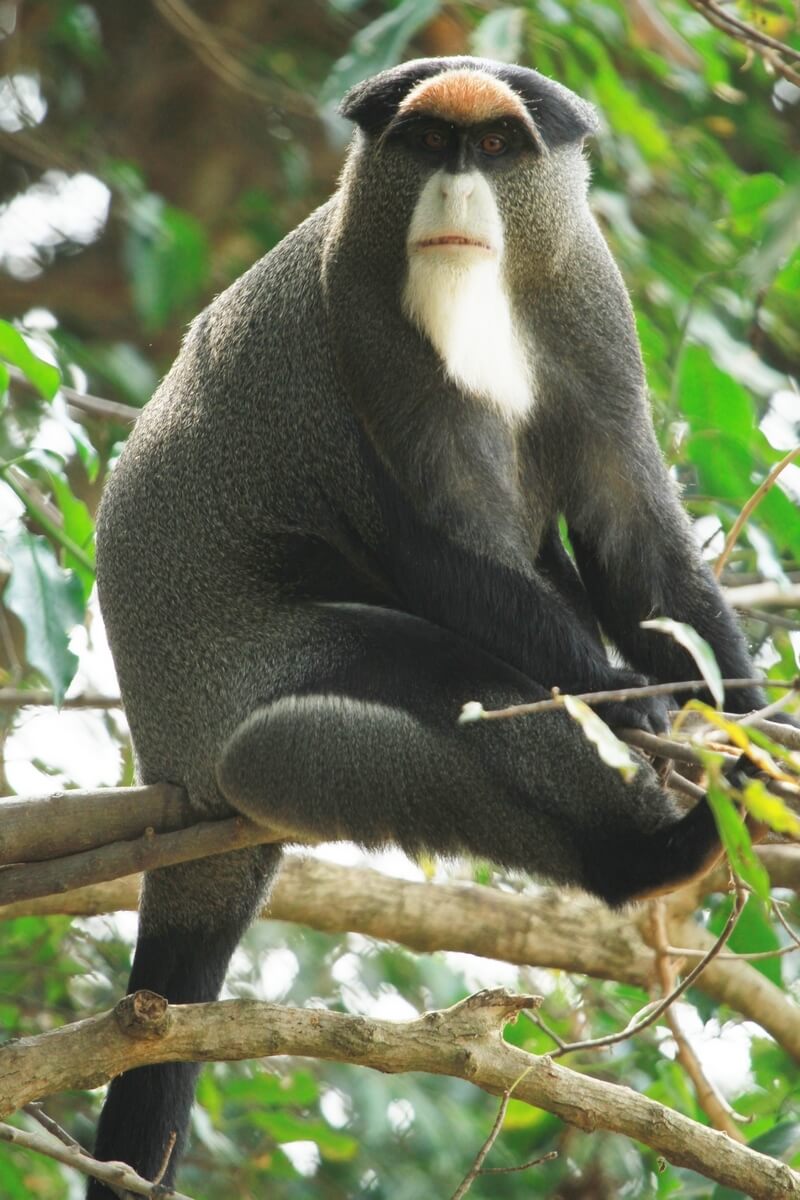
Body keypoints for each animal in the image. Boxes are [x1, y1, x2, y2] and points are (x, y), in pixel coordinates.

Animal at [89, 56, 771, 1196]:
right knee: (444, 690)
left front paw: (754, 732)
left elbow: (631, 533)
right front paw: (639, 714)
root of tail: (168, 750)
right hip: (238, 704)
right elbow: (447, 558)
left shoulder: (589, 301)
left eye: (494, 148)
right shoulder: (363, 319)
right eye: (423, 145)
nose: (454, 187)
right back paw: (651, 854)